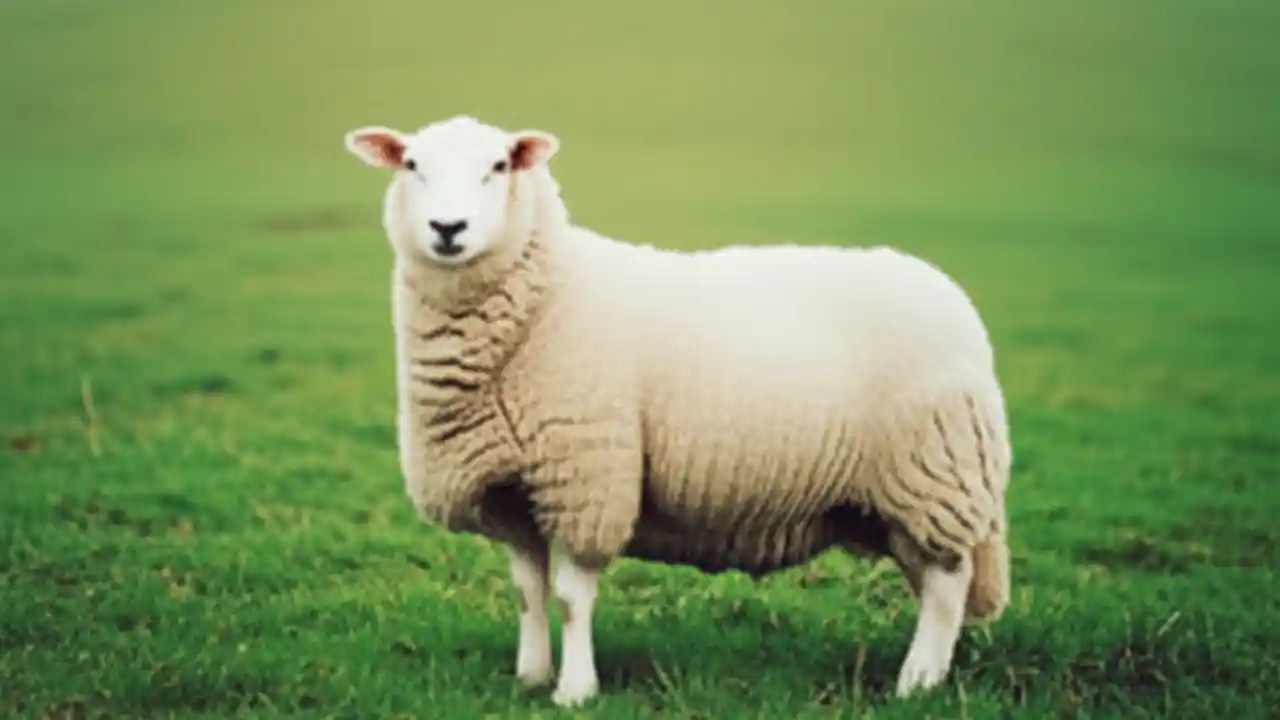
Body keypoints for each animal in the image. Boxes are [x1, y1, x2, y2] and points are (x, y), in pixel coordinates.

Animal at [343, 115, 1013, 707]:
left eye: (500, 166)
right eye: (411, 164)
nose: (447, 228)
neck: (546, 297)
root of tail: (956, 302)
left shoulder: (588, 478)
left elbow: (570, 597)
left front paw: (575, 690)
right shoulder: (513, 490)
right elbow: (528, 591)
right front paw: (530, 678)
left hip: (935, 472)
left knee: (947, 585)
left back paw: (917, 683)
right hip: (905, 493)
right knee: (933, 582)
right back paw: (928, 669)